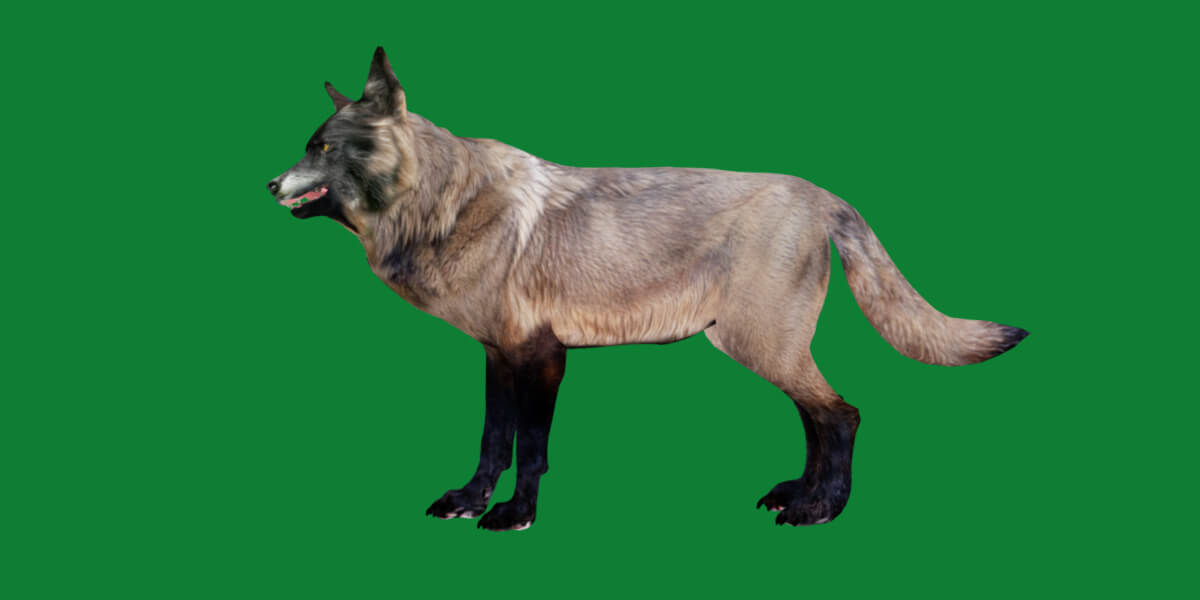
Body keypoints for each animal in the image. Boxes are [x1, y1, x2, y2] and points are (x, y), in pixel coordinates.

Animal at [267, 47, 1028, 531]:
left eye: (322, 148)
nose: (269, 184)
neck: (443, 208)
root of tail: (825, 195)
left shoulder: (542, 358)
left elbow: (530, 450)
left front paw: (515, 515)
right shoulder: (497, 357)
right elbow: (492, 440)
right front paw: (470, 501)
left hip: (758, 346)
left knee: (842, 415)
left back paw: (821, 510)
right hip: (764, 349)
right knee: (818, 418)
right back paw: (799, 495)